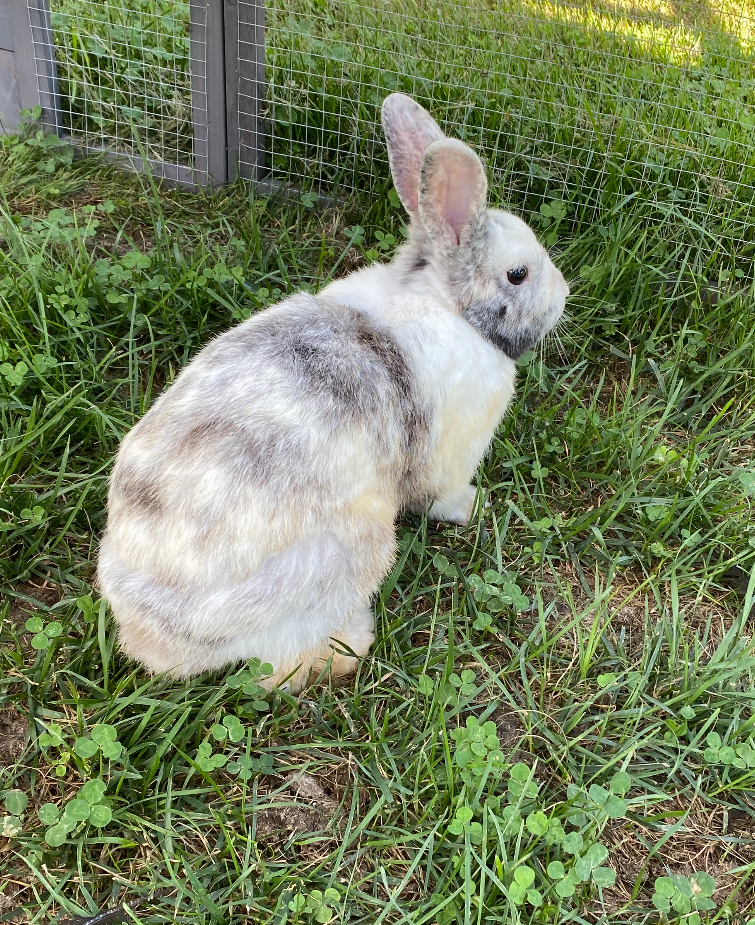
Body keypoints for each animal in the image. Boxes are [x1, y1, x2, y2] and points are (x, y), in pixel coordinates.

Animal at [97, 93, 569, 691]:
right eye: (517, 274)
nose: (565, 294)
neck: (441, 301)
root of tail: (152, 636)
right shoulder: (449, 456)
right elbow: (441, 494)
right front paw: (471, 505)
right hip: (353, 548)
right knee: (281, 668)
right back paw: (352, 645)